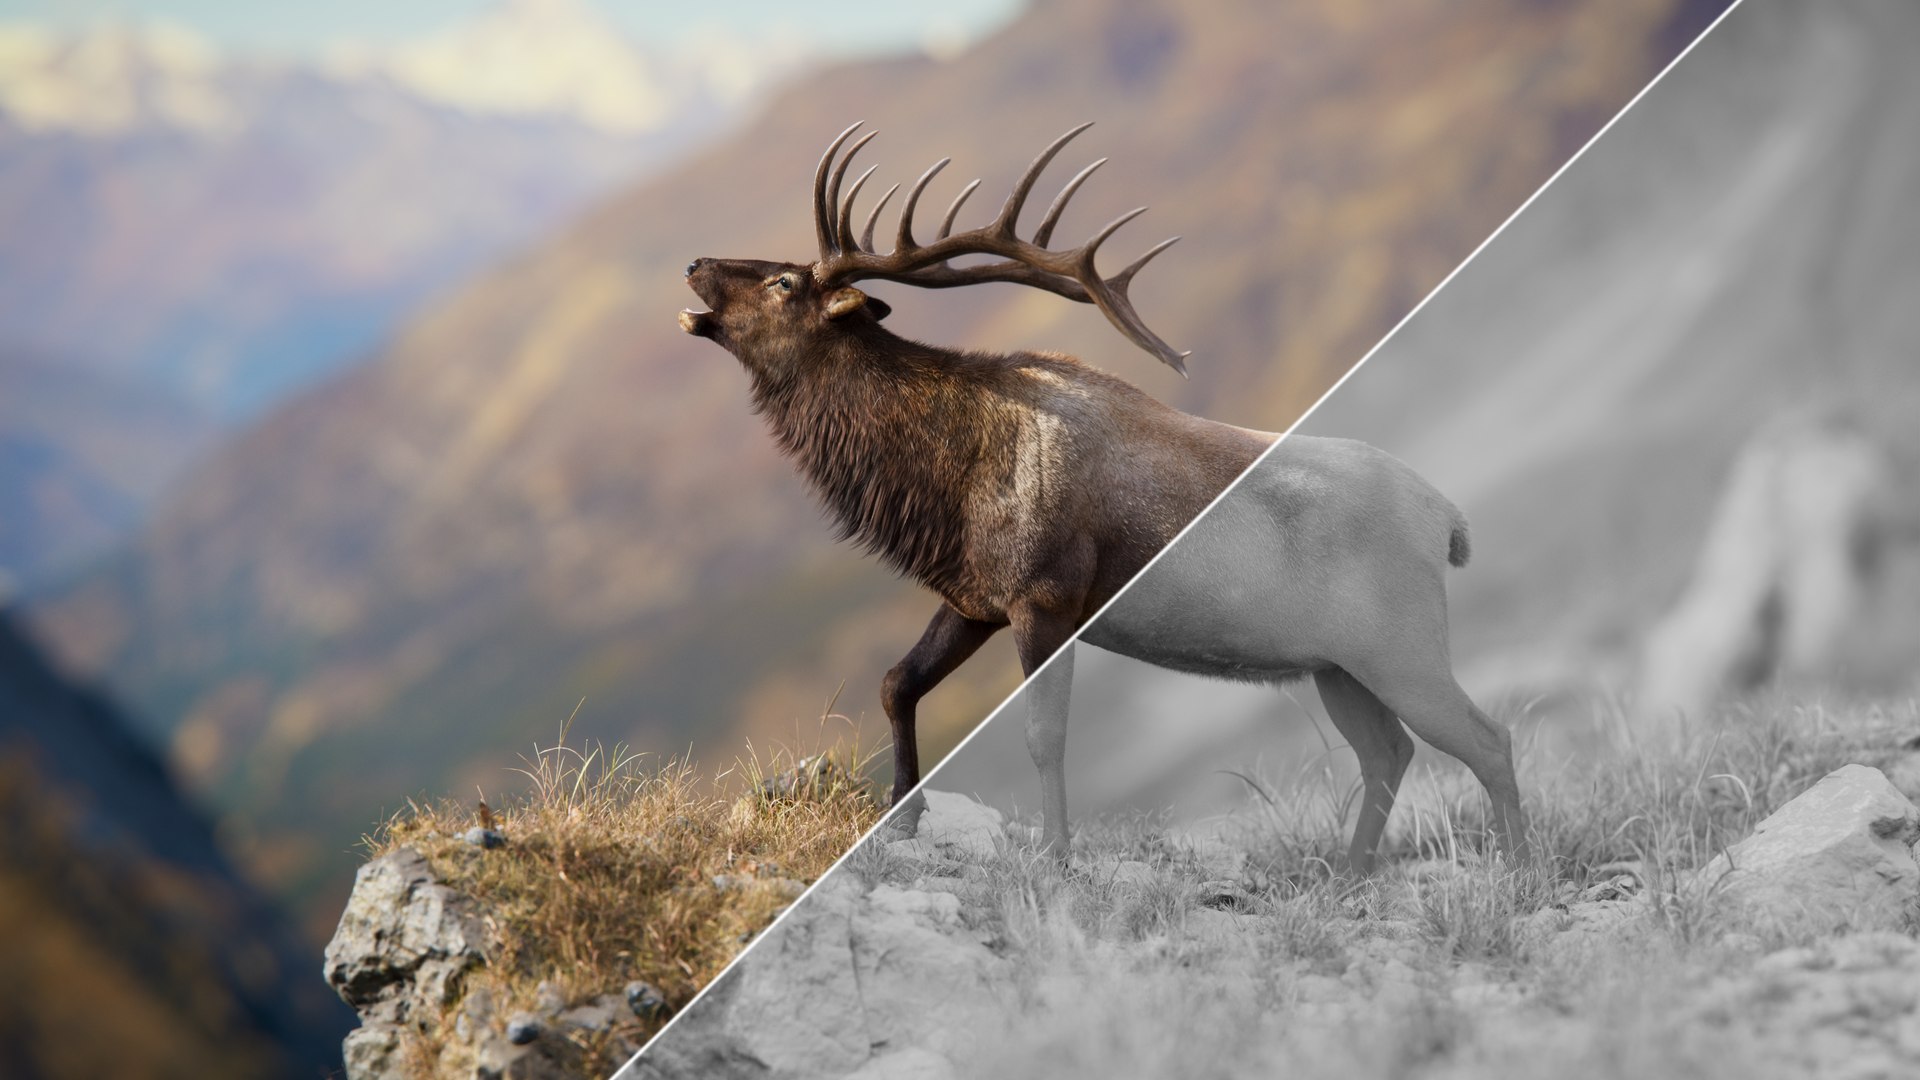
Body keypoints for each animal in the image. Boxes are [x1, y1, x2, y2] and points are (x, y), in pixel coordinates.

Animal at [679, 122, 1529, 872]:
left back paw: (1520, 865)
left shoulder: (1046, 593)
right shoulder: (974, 597)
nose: (695, 262)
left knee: (1487, 739)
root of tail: (1448, 521)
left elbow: (1042, 737)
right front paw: (904, 817)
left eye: (784, 281)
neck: (939, 483)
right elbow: (895, 682)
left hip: (1401, 647)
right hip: (1337, 665)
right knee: (1388, 751)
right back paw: (1348, 874)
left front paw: (1056, 858)